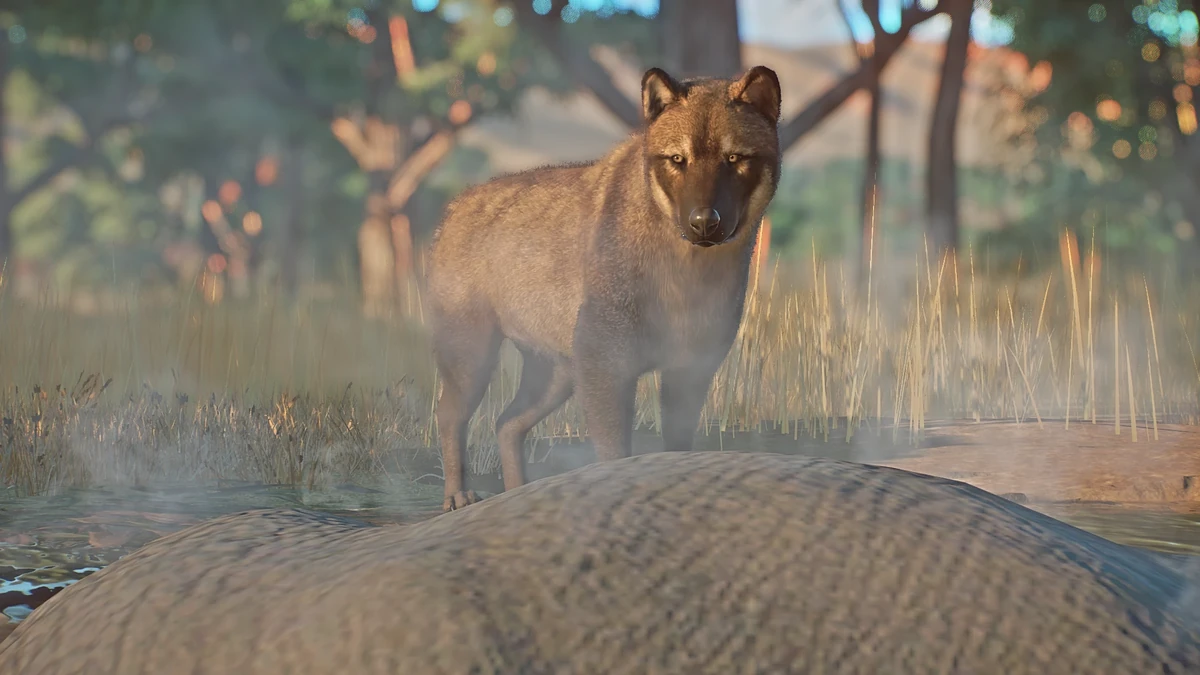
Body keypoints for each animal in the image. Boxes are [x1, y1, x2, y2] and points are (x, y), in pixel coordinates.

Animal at [425, 65, 782, 511]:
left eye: (733, 158)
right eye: (677, 159)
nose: (704, 222)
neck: (689, 271)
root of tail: (455, 207)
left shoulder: (690, 368)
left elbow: (677, 445)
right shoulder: (607, 366)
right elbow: (615, 452)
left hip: (554, 372)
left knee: (507, 422)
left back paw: (518, 492)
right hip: (471, 355)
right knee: (450, 415)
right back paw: (459, 497)